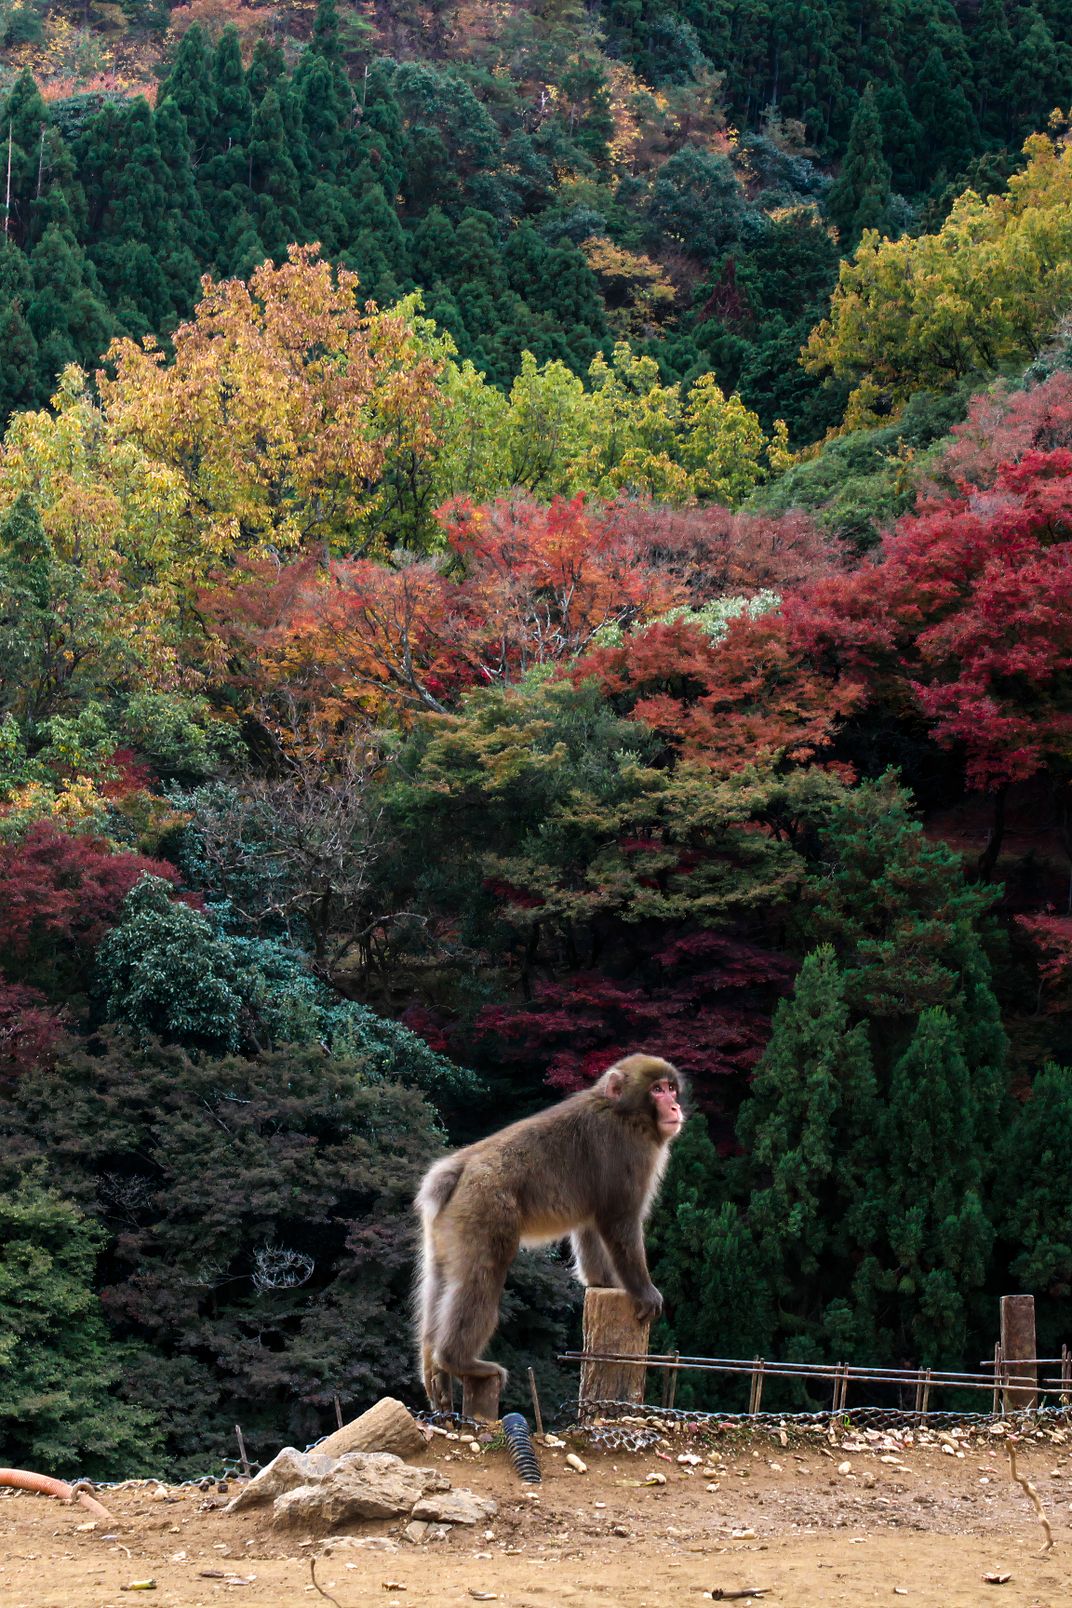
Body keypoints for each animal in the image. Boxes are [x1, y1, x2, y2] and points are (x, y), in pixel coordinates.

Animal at [414, 1052, 685, 1411]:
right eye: (657, 1090)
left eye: (671, 1088)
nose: (675, 1106)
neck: (621, 1111)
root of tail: (457, 1168)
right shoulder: (628, 1150)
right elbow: (619, 1221)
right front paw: (643, 1291)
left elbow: (591, 1224)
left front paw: (602, 1281)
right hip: (484, 1209)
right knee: (483, 1274)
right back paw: (458, 1360)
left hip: (445, 1226)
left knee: (440, 1279)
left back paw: (435, 1371)